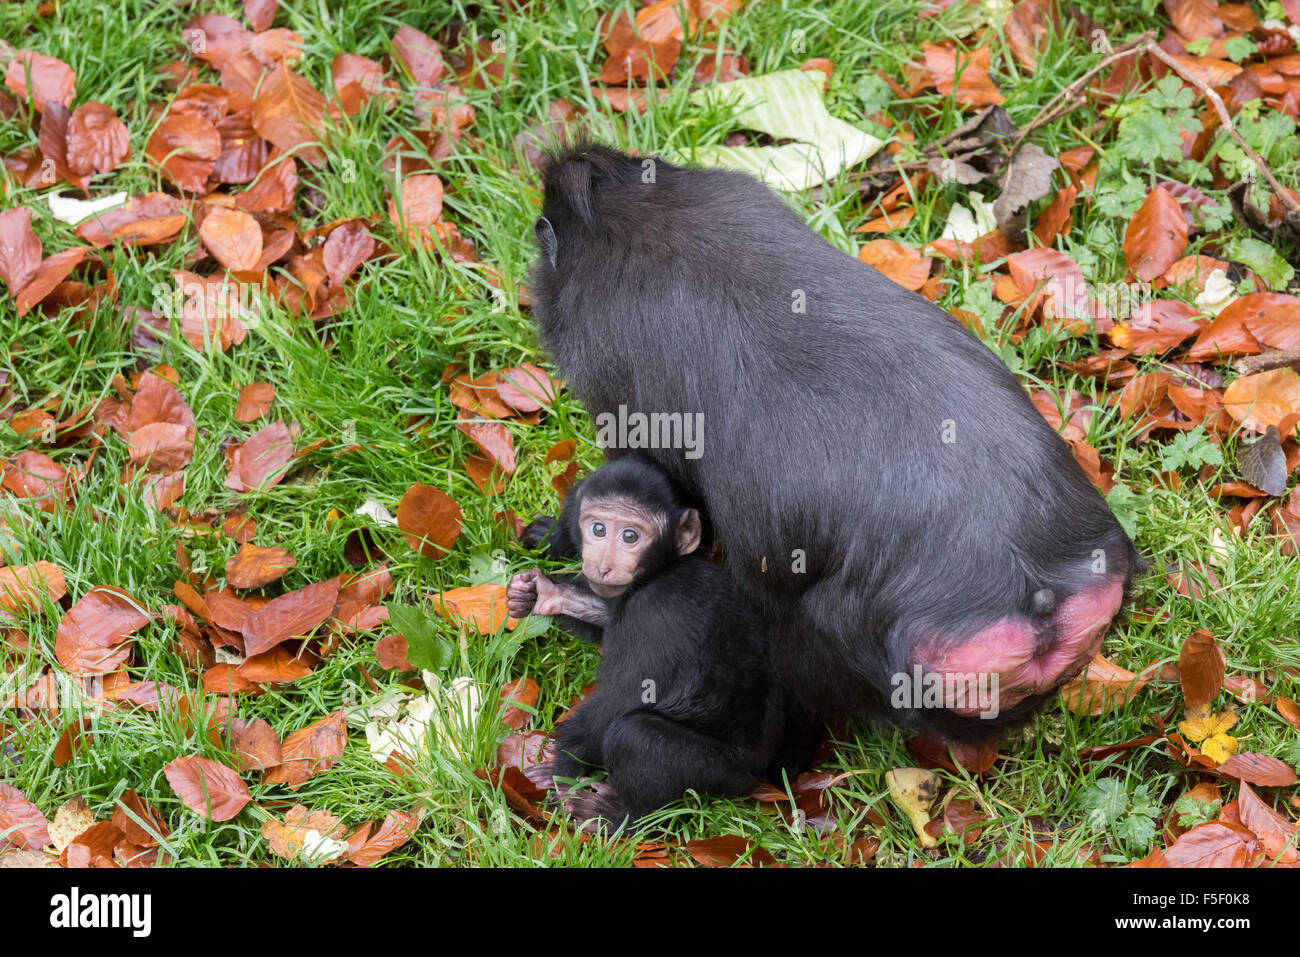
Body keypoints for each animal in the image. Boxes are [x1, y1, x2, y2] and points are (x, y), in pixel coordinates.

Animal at [506, 456, 800, 827]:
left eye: (630, 536)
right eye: (598, 529)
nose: (603, 565)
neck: (663, 571)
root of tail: (757, 775)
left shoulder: (659, 614)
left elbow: (622, 700)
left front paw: (563, 768)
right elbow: (607, 618)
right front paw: (543, 594)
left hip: (720, 772)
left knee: (635, 735)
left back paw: (620, 816)